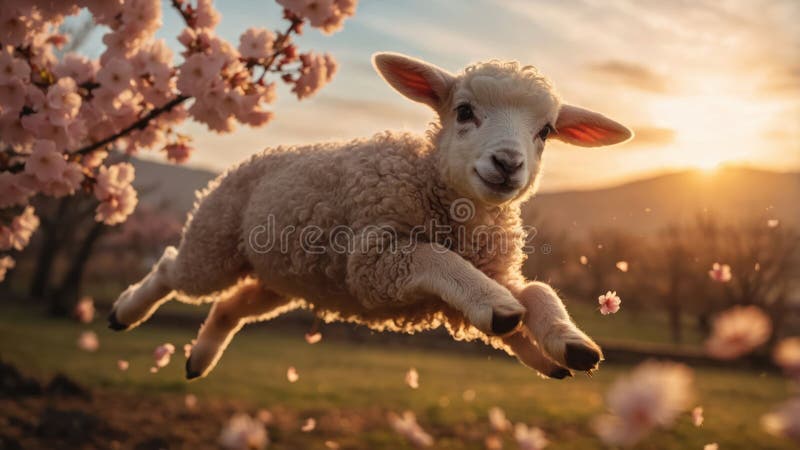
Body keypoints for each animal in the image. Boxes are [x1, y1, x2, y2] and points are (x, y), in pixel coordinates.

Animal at [108, 52, 633, 380]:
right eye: (464, 111)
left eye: (545, 131)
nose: (507, 163)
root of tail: (255, 158)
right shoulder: (376, 263)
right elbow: (438, 259)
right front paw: (501, 310)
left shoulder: (482, 274)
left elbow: (538, 295)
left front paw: (567, 344)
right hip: (215, 241)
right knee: (174, 268)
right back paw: (125, 311)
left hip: (283, 278)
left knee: (230, 306)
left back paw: (198, 360)